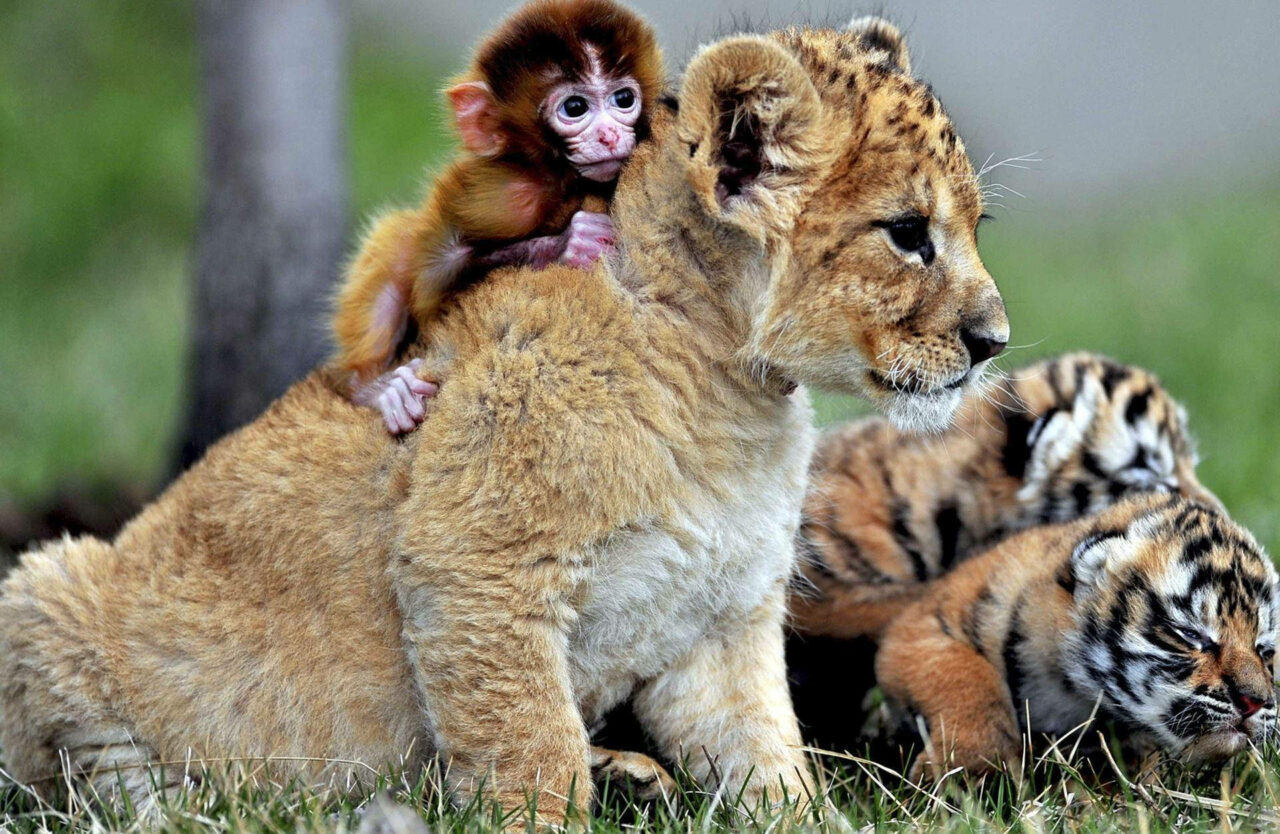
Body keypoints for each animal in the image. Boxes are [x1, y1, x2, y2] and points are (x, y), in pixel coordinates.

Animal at [331, 0, 664, 433]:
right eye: (574, 108)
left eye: (624, 99)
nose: (608, 135)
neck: (561, 178)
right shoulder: (504, 197)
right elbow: (434, 280)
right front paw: (571, 243)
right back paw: (372, 386)